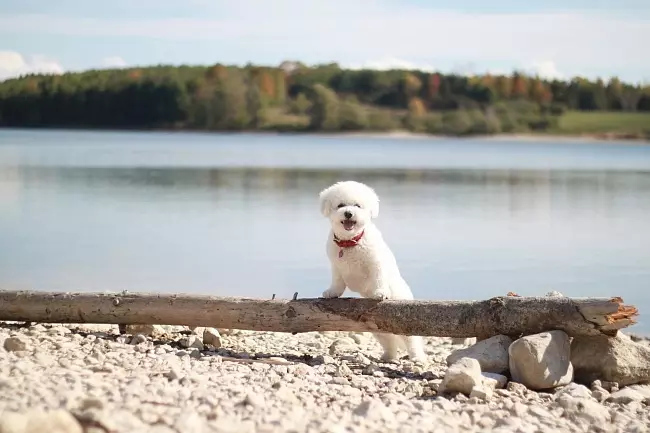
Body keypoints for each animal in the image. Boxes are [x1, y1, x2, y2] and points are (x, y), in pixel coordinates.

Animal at [318, 181, 426, 362]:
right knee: (389, 341)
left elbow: (378, 278)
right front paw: (332, 292)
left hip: (404, 322)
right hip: (376, 328)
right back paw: (388, 357)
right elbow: (337, 281)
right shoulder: (336, 266)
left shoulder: (376, 263)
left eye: (357, 205)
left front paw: (380, 293)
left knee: (411, 341)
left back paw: (417, 357)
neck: (350, 242)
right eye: (340, 205)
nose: (348, 213)